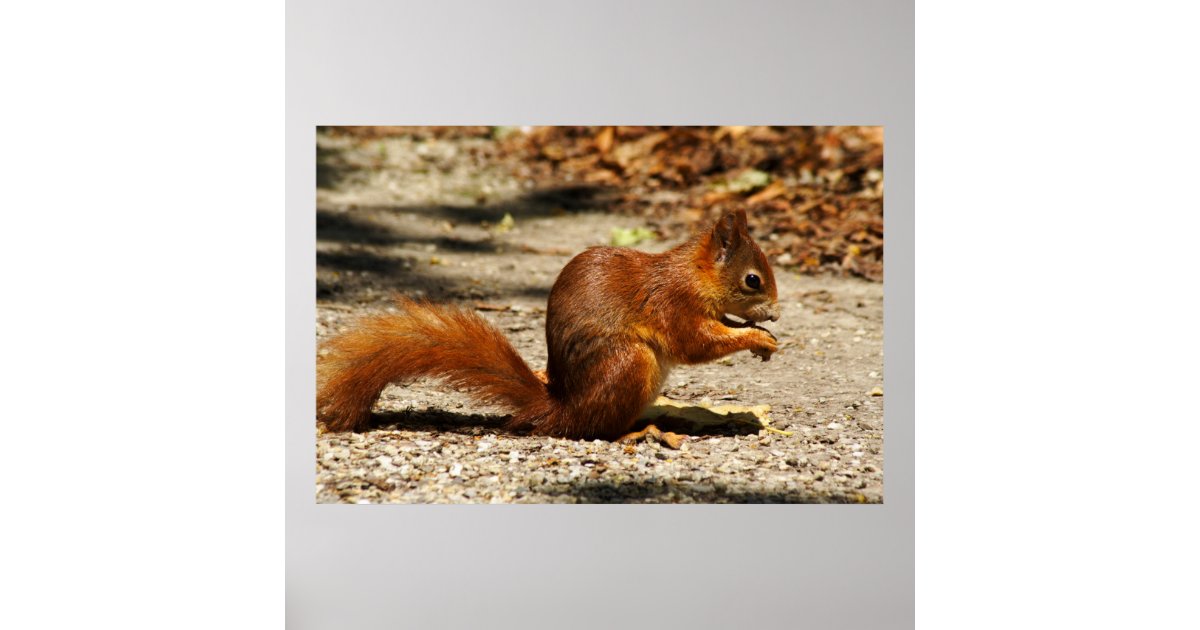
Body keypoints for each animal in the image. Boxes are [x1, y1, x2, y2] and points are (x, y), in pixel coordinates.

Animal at [316, 208, 781, 446]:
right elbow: (696, 343)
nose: (776, 314)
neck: (693, 273)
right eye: (752, 280)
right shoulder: (674, 304)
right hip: (631, 364)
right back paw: (645, 431)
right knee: (598, 430)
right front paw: (756, 336)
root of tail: (562, 408)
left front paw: (761, 337)